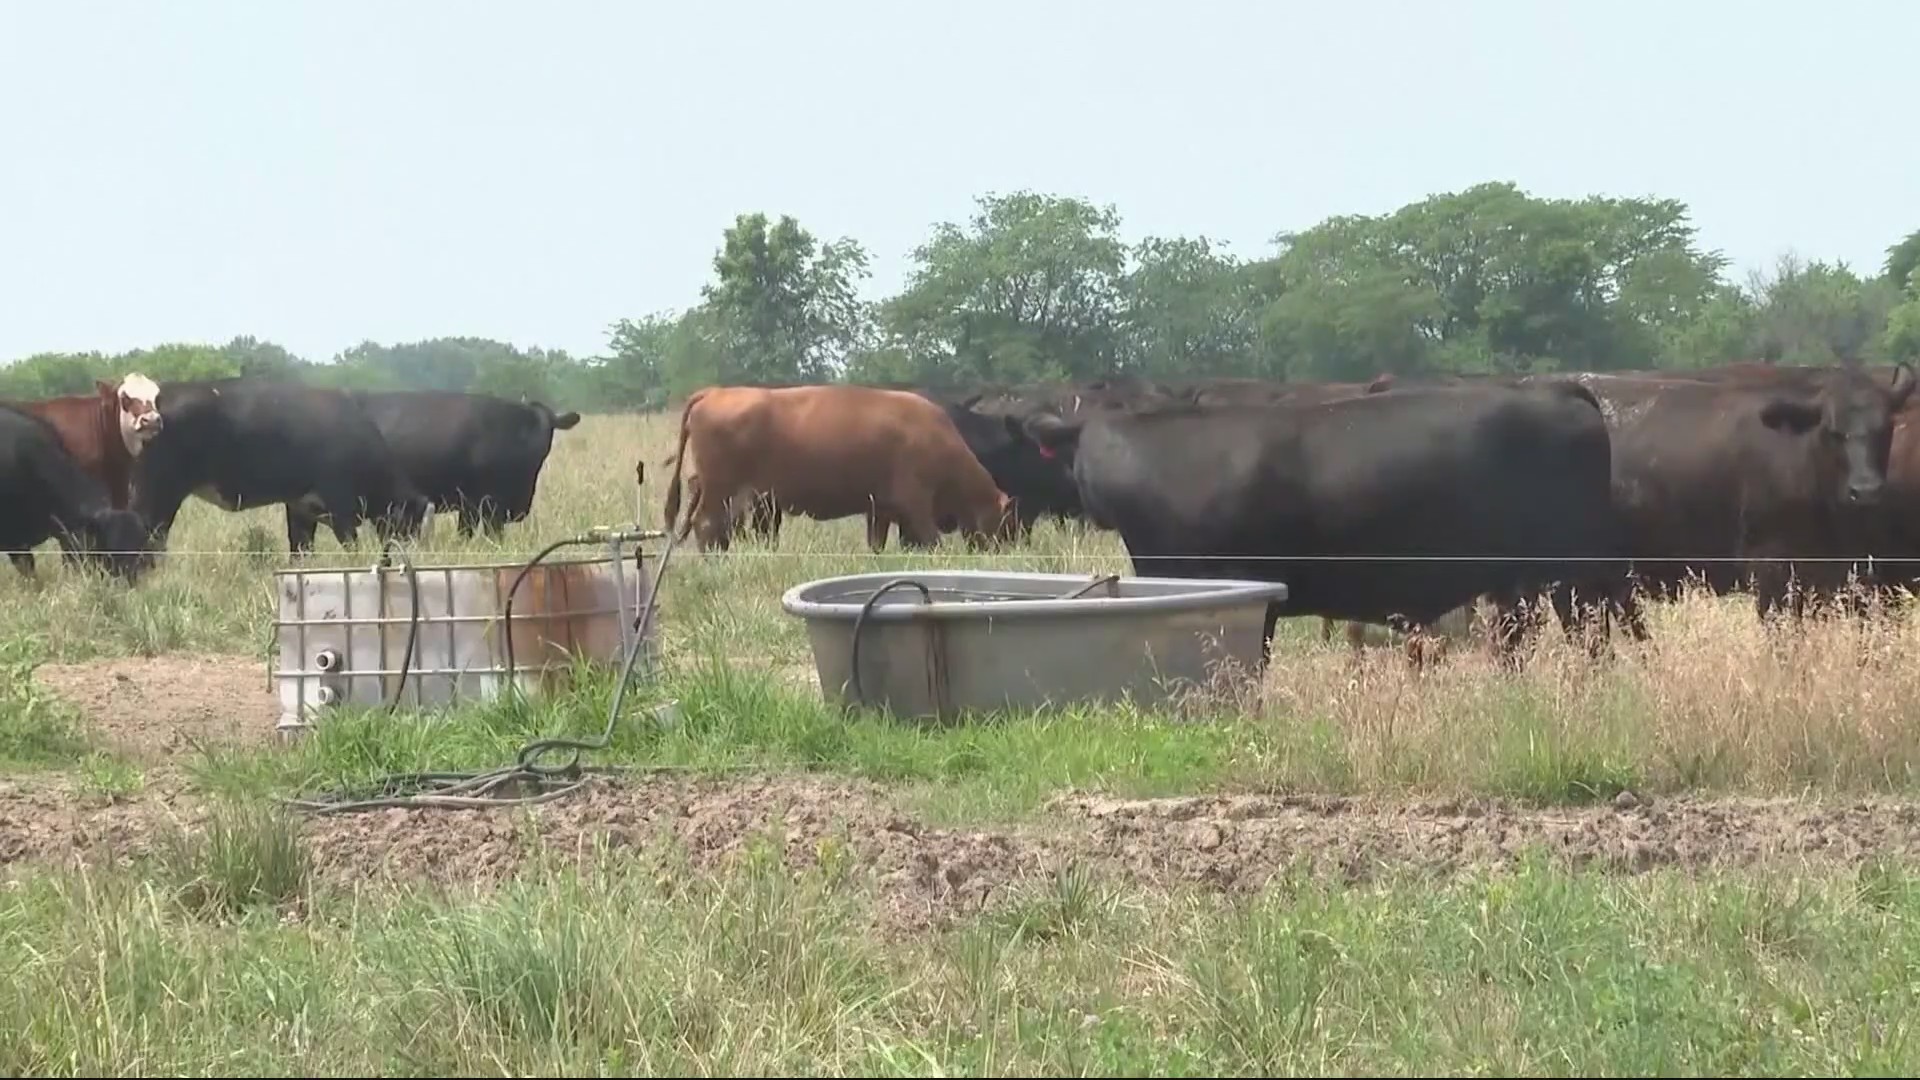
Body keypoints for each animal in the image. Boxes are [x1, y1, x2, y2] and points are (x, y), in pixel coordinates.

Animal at [130, 377, 431, 555]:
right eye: (411, 523)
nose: (413, 555)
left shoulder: (301, 508)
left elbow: (301, 548)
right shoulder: (341, 509)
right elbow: (351, 545)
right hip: (162, 491)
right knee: (150, 534)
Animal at [660, 384, 1017, 552]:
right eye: (1005, 523)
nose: (1001, 551)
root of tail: (715, 392)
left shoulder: (880, 509)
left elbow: (878, 543)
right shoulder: (915, 503)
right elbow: (930, 540)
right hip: (721, 489)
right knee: (708, 525)